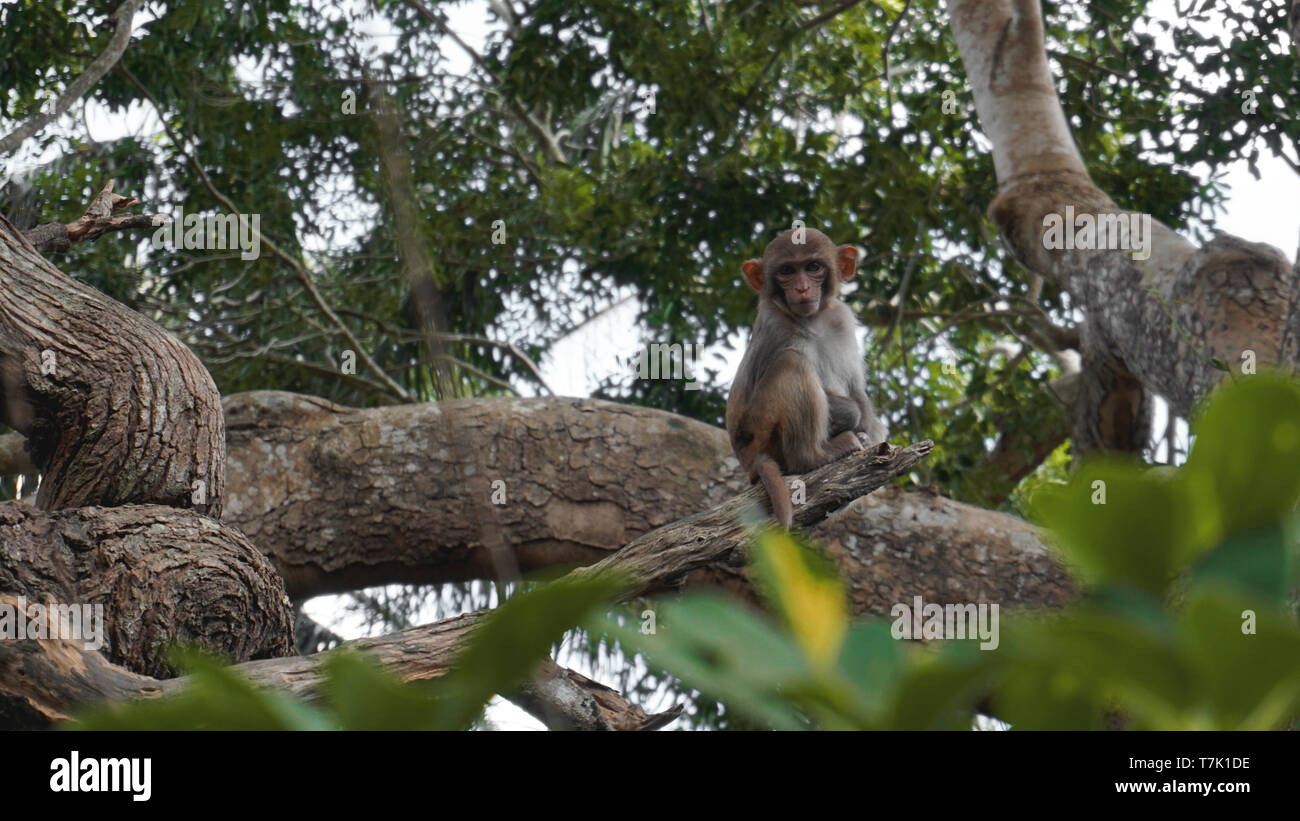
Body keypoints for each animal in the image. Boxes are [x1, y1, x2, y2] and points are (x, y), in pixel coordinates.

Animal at [725, 228, 887, 528]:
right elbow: (849, 404)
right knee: (793, 364)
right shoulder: (775, 327)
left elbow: (857, 390)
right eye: (787, 271)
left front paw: (870, 436)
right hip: (760, 436)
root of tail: (748, 462)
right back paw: (814, 456)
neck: (812, 319)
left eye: (813, 267)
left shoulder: (841, 318)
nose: (801, 288)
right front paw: (850, 419)